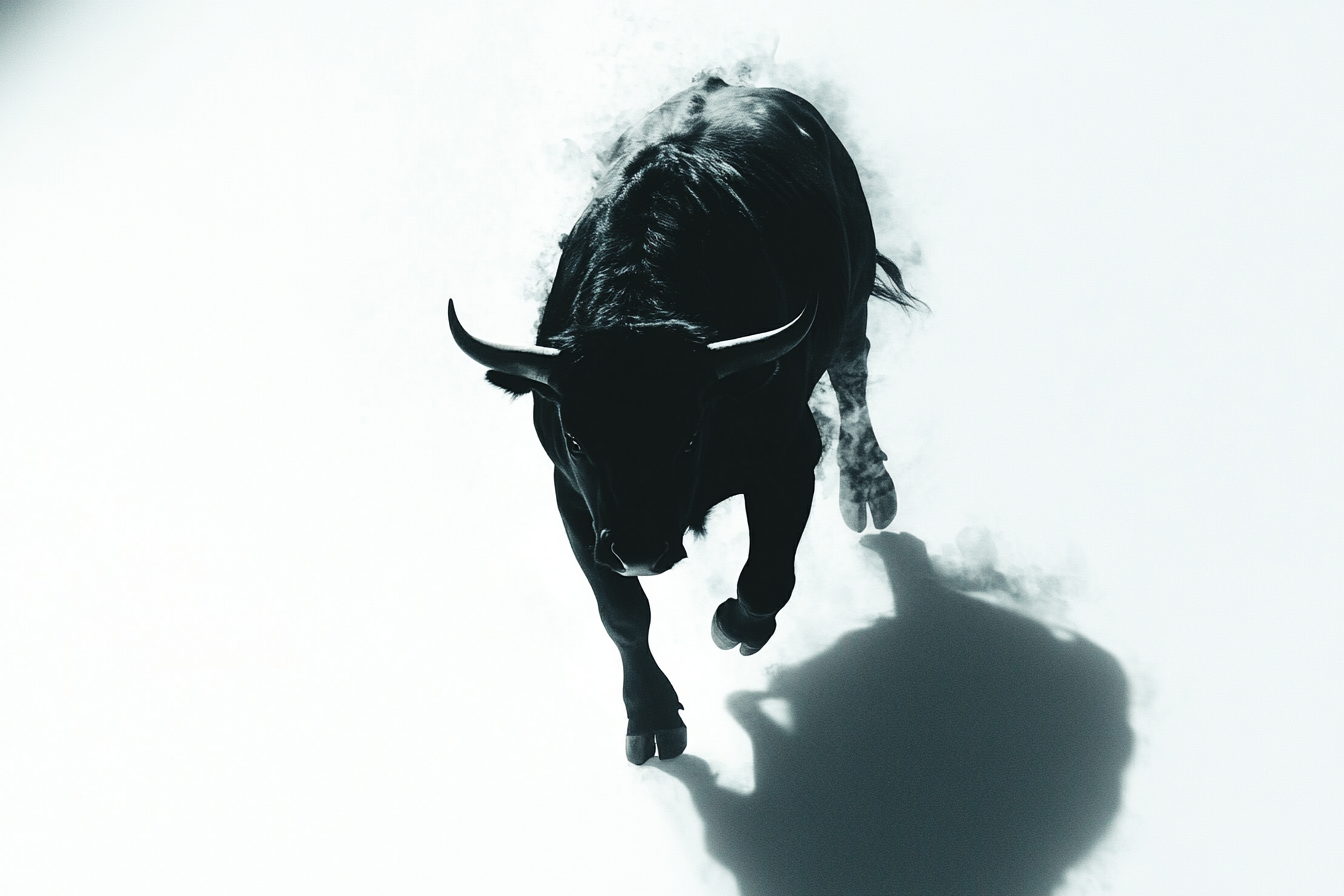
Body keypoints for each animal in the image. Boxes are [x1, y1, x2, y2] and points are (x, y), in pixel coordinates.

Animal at [449, 76, 920, 764]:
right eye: (577, 437)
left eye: (689, 436)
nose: (641, 550)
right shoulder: (574, 497)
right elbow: (622, 614)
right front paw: (649, 715)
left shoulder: (788, 456)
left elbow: (767, 577)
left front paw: (734, 627)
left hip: (854, 287)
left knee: (852, 375)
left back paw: (866, 489)